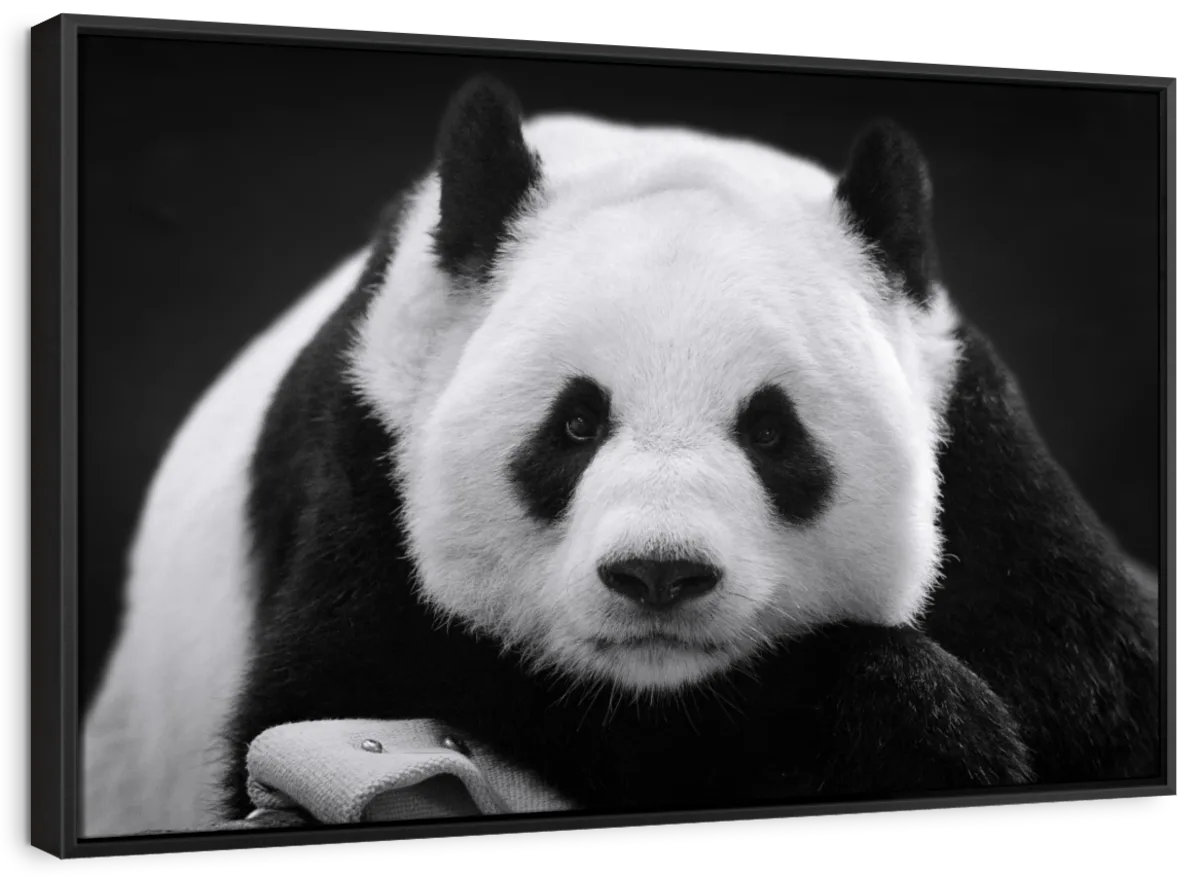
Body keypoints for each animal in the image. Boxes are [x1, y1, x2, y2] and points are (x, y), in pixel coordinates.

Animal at [82, 77, 1159, 837]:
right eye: (574, 425)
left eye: (772, 431)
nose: (658, 575)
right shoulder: (369, 458)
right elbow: (341, 695)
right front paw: (909, 723)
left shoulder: (989, 480)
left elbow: (1104, 694)